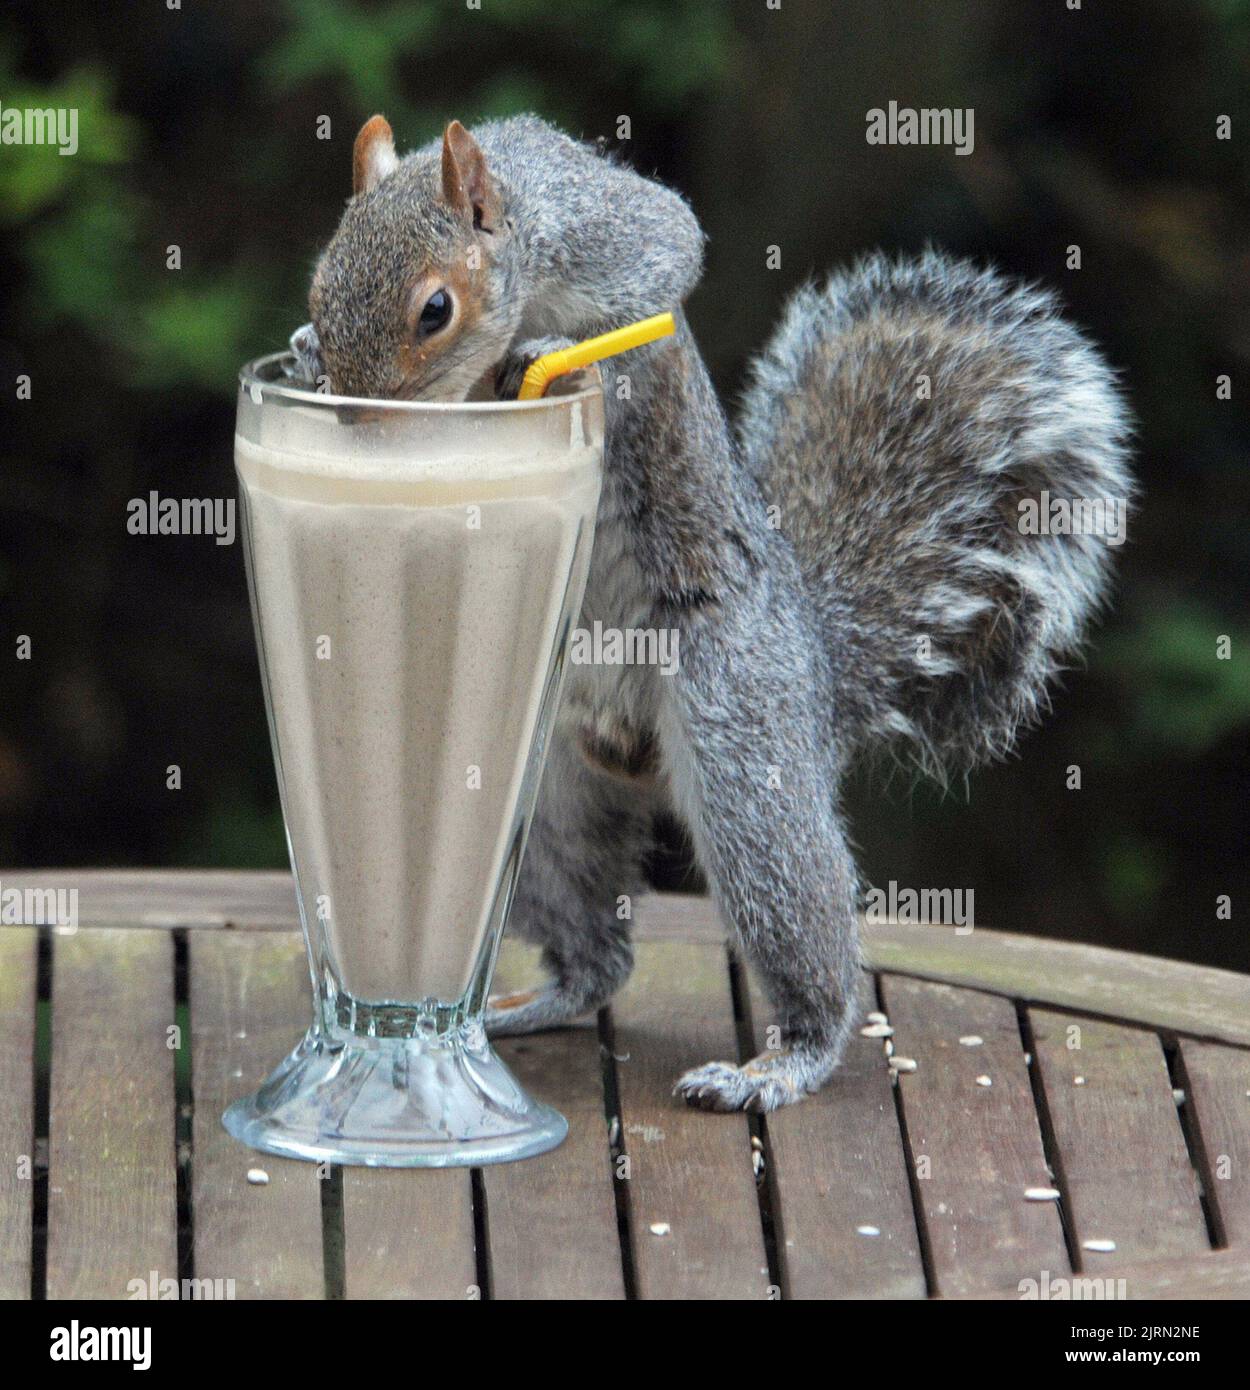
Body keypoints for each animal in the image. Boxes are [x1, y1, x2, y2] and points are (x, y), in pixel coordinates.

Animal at [291, 114, 1132, 1113]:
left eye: (434, 311)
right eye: (319, 283)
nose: (357, 425)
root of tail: (818, 668)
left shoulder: (605, 228)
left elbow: (668, 250)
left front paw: (542, 360)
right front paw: (302, 353)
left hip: (741, 738)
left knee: (804, 935)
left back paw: (782, 1061)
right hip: (539, 788)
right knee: (597, 955)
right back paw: (535, 1003)